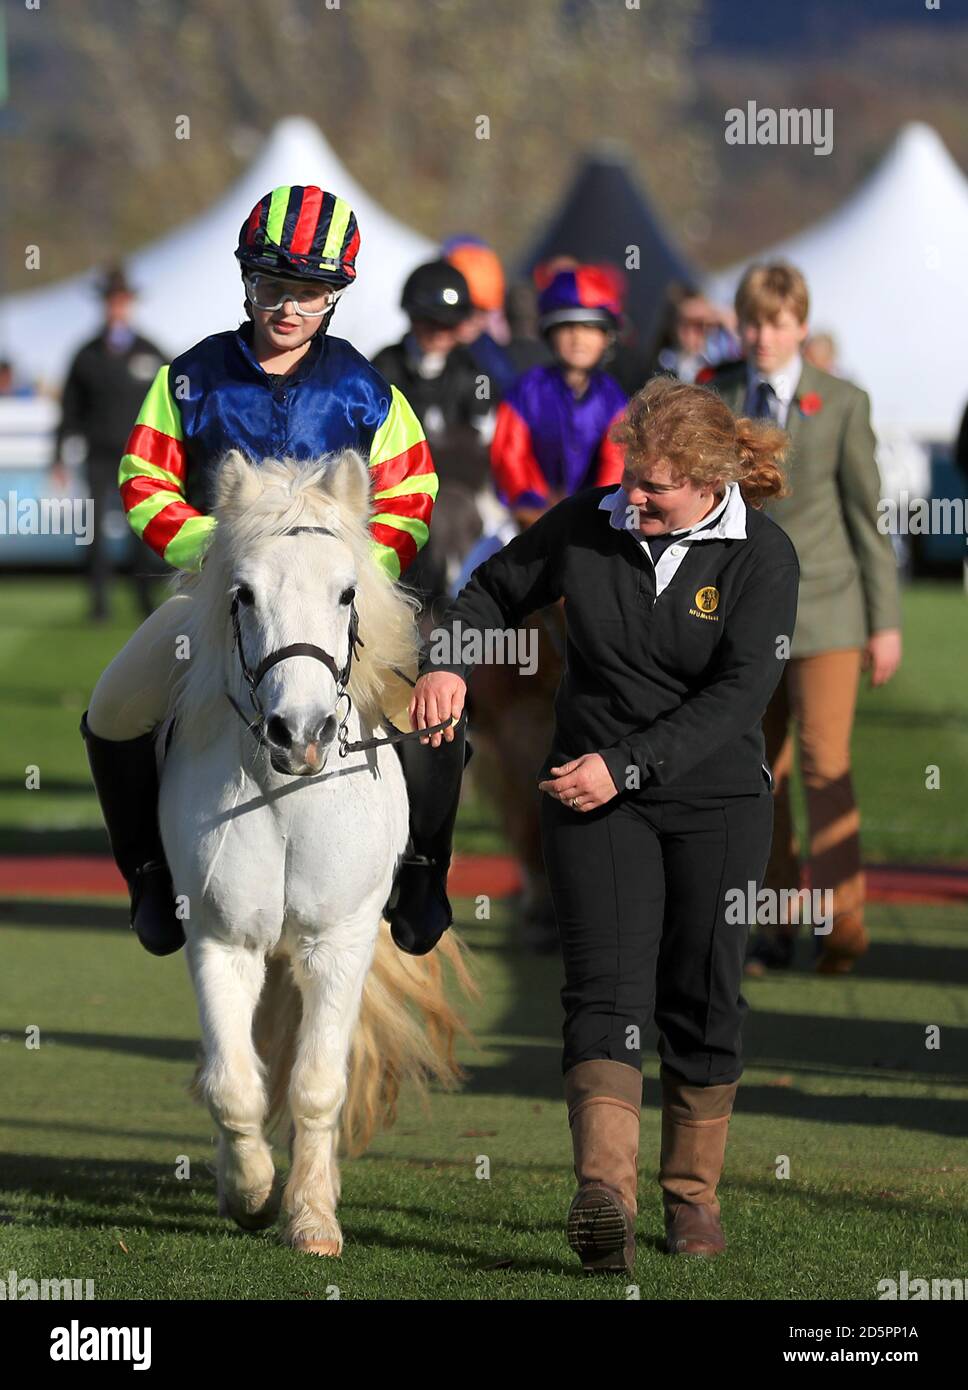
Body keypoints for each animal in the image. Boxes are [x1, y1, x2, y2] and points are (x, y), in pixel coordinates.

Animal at [158, 448, 474, 1256]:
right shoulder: (221, 938)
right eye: (242, 593)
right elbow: (234, 1083)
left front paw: (310, 1217)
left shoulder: (338, 940)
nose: (298, 732)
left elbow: (317, 1082)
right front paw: (250, 1192)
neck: (284, 799)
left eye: (346, 592)